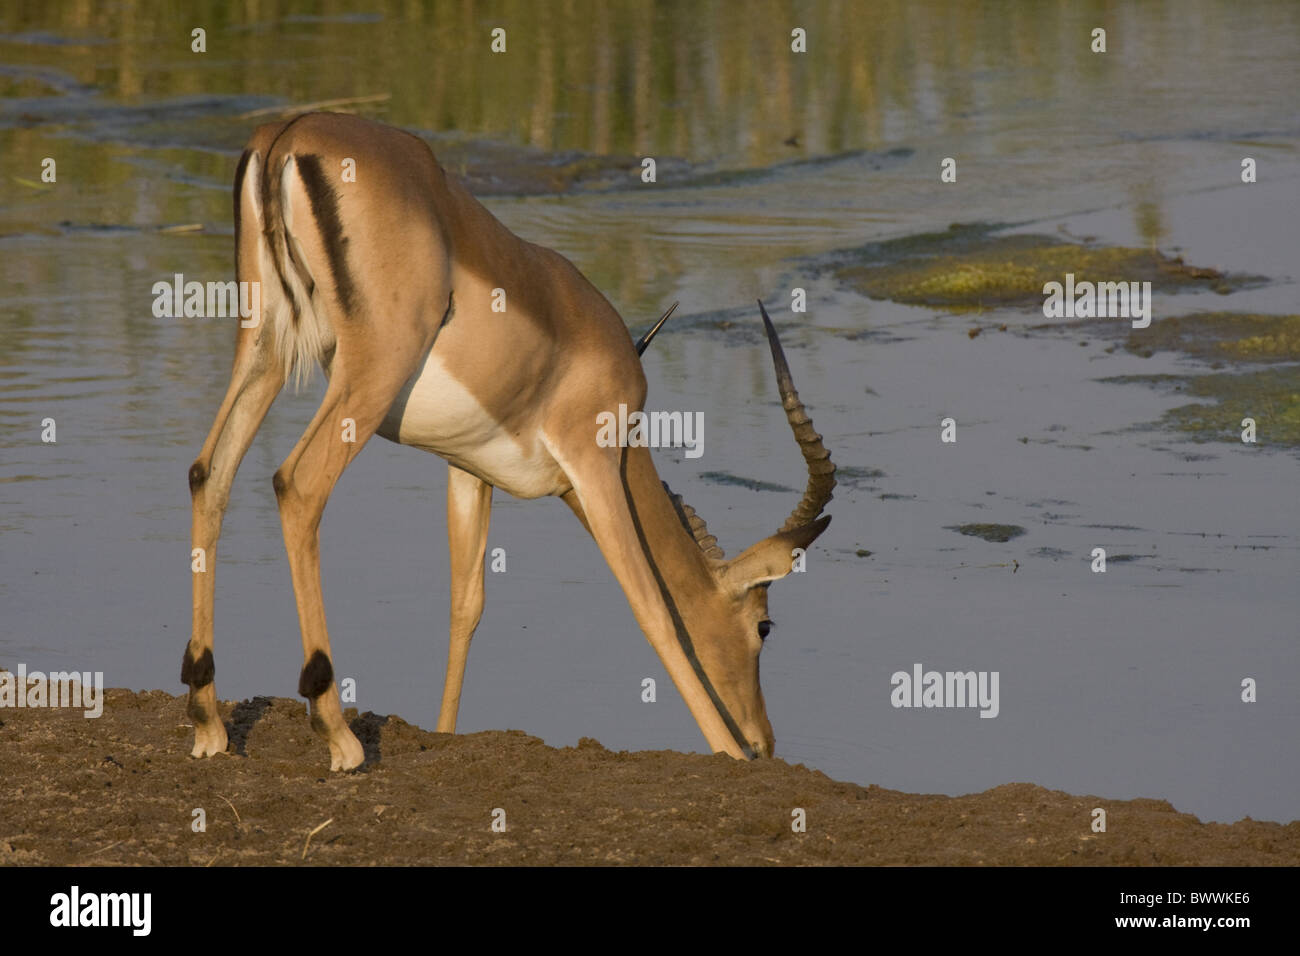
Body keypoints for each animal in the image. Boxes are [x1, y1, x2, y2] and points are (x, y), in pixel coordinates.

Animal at [183, 113, 835, 770]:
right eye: (763, 626)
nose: (764, 742)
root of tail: (290, 134)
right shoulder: (594, 464)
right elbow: (652, 606)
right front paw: (726, 753)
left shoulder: (467, 469)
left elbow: (465, 604)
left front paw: (445, 735)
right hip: (368, 374)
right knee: (298, 483)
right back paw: (338, 733)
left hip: (263, 346)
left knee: (209, 471)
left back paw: (208, 719)